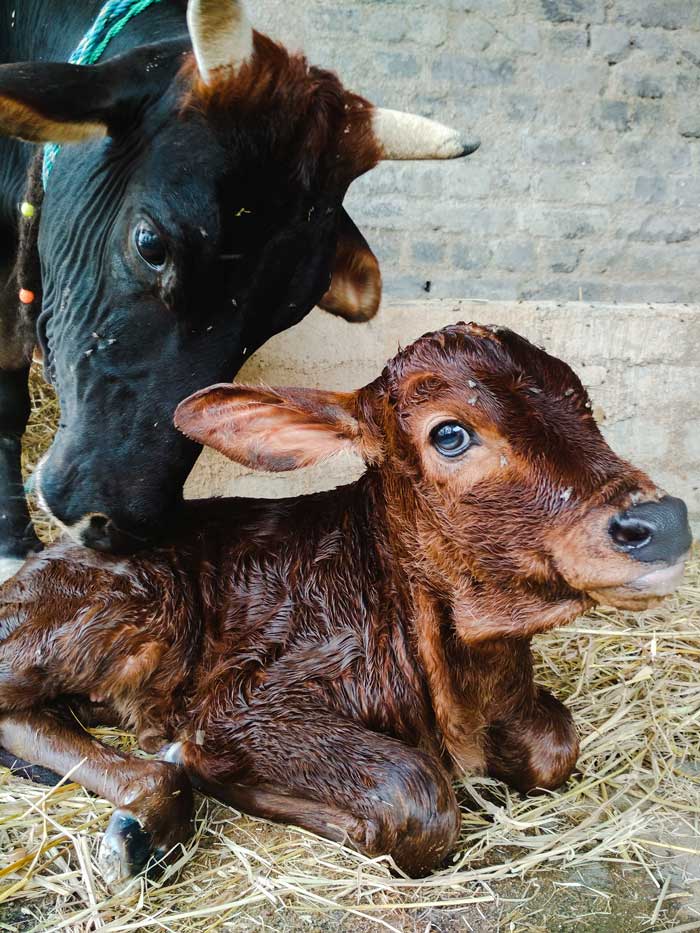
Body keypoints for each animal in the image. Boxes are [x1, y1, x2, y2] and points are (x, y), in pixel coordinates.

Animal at [0, 322, 691, 884]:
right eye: (449, 433)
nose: (663, 521)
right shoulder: (243, 700)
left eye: (583, 404)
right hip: (132, 603)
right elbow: (419, 797)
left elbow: (554, 746)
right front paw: (204, 764)